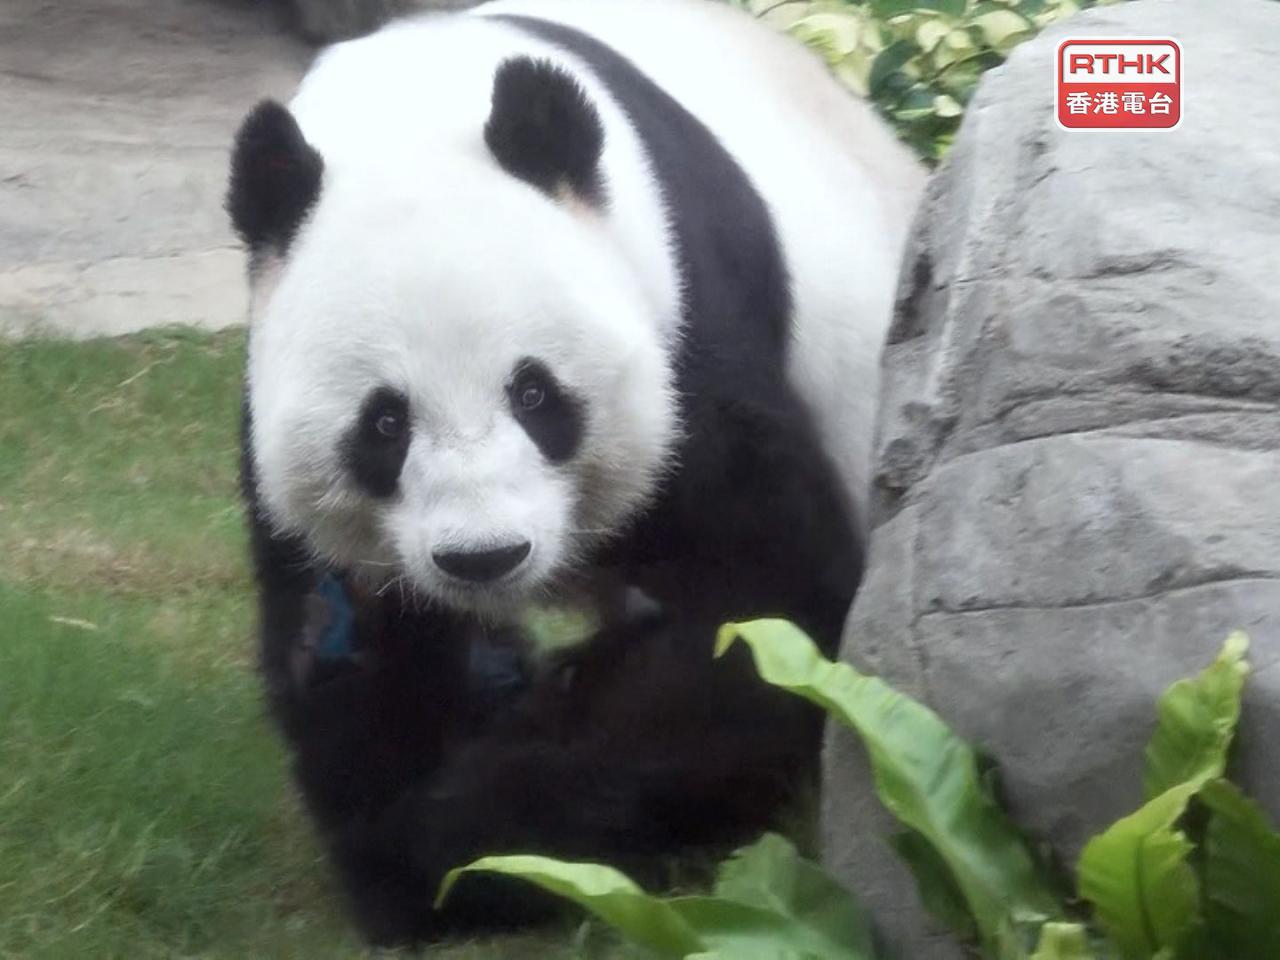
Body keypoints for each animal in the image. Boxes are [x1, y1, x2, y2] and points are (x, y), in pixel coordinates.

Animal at [228, 0, 923, 945]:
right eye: (384, 422)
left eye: (534, 393)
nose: (484, 557)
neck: (419, 109)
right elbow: (342, 639)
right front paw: (410, 879)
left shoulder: (686, 332)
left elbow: (758, 608)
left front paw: (489, 842)